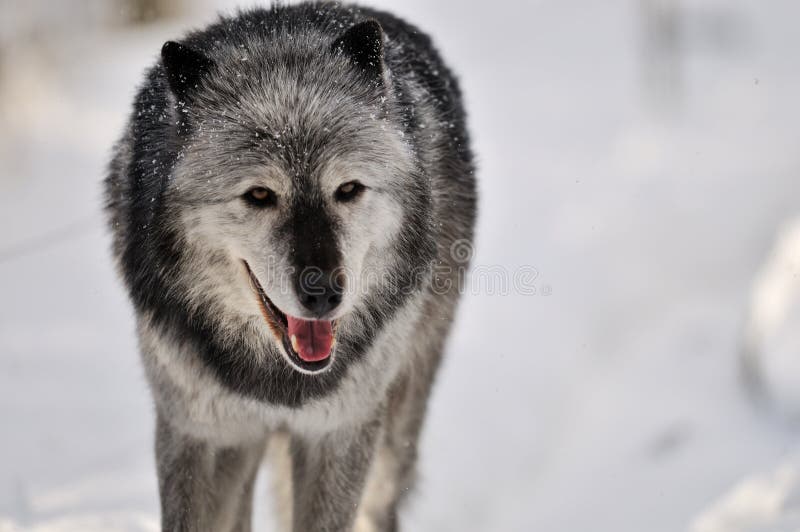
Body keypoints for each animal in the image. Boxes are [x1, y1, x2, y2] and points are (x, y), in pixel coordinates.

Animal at [105, 3, 475, 531]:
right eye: (260, 194)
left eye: (348, 189)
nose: (323, 293)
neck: (280, 381)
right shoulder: (203, 434)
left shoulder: (338, 433)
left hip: (391, 433)